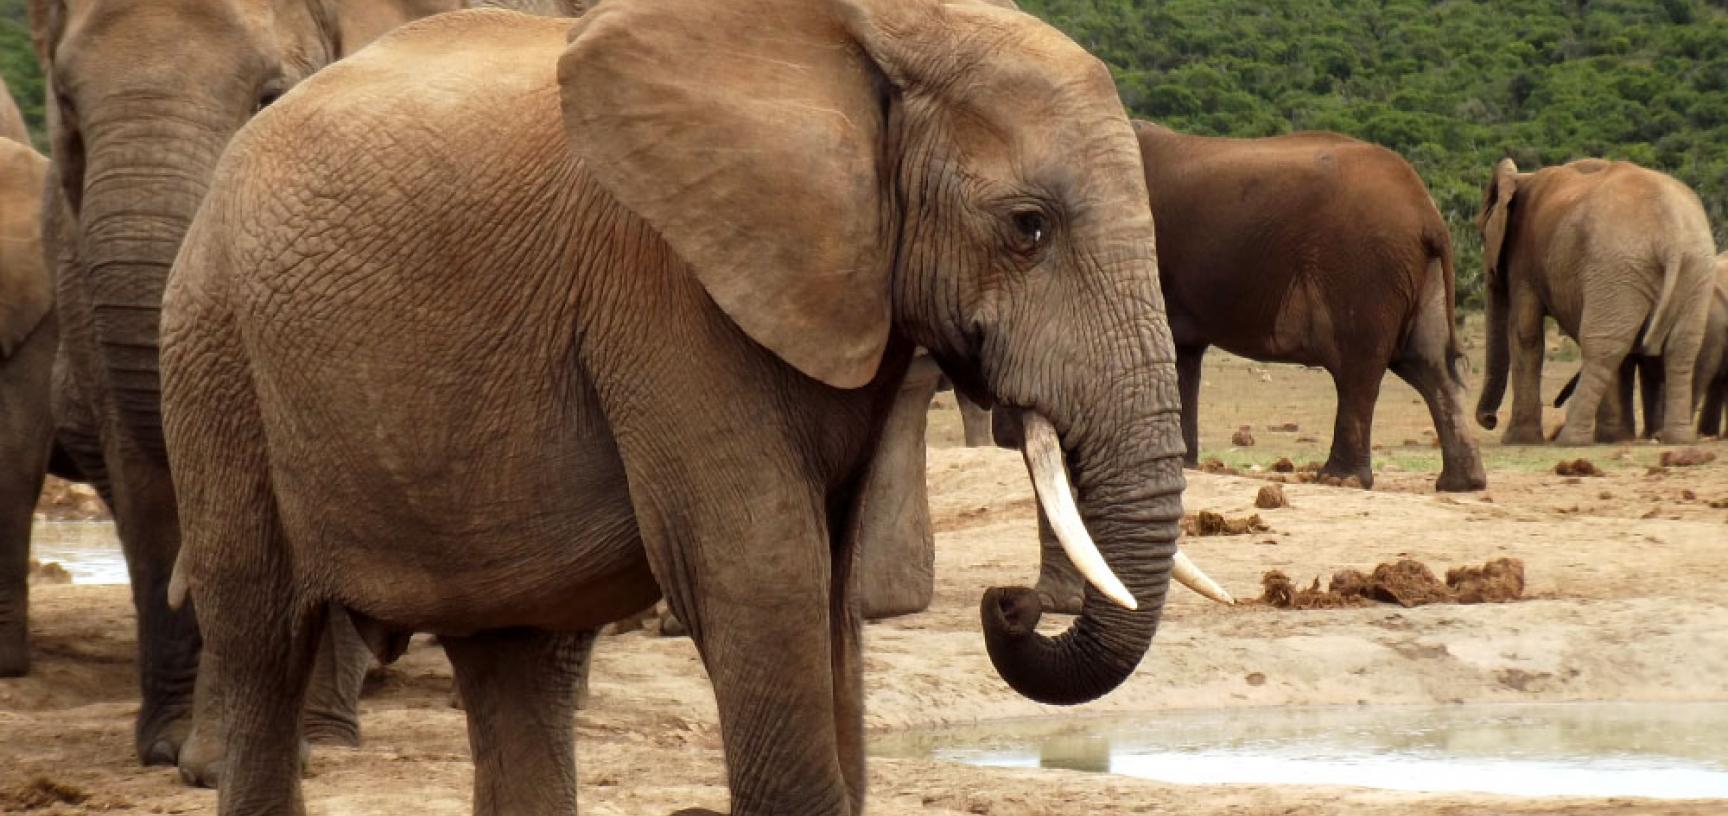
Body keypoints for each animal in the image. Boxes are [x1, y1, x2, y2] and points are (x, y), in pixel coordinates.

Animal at [155, 0, 1225, 812]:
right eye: (1028, 228)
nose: (1007, 604)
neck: (881, 36)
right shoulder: (669, 294)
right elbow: (763, 572)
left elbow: (829, 588)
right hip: (214, 350)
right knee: (260, 637)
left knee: (517, 662)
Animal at [1474, 157, 1717, 446]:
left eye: (1481, 236)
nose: (1489, 420)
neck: (1523, 177)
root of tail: (1672, 240)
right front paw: (1616, 437)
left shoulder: (1524, 261)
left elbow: (1525, 333)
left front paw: (1518, 440)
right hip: (1691, 269)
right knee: (1681, 347)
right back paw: (1675, 438)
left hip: (1616, 266)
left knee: (1602, 346)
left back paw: (1569, 440)